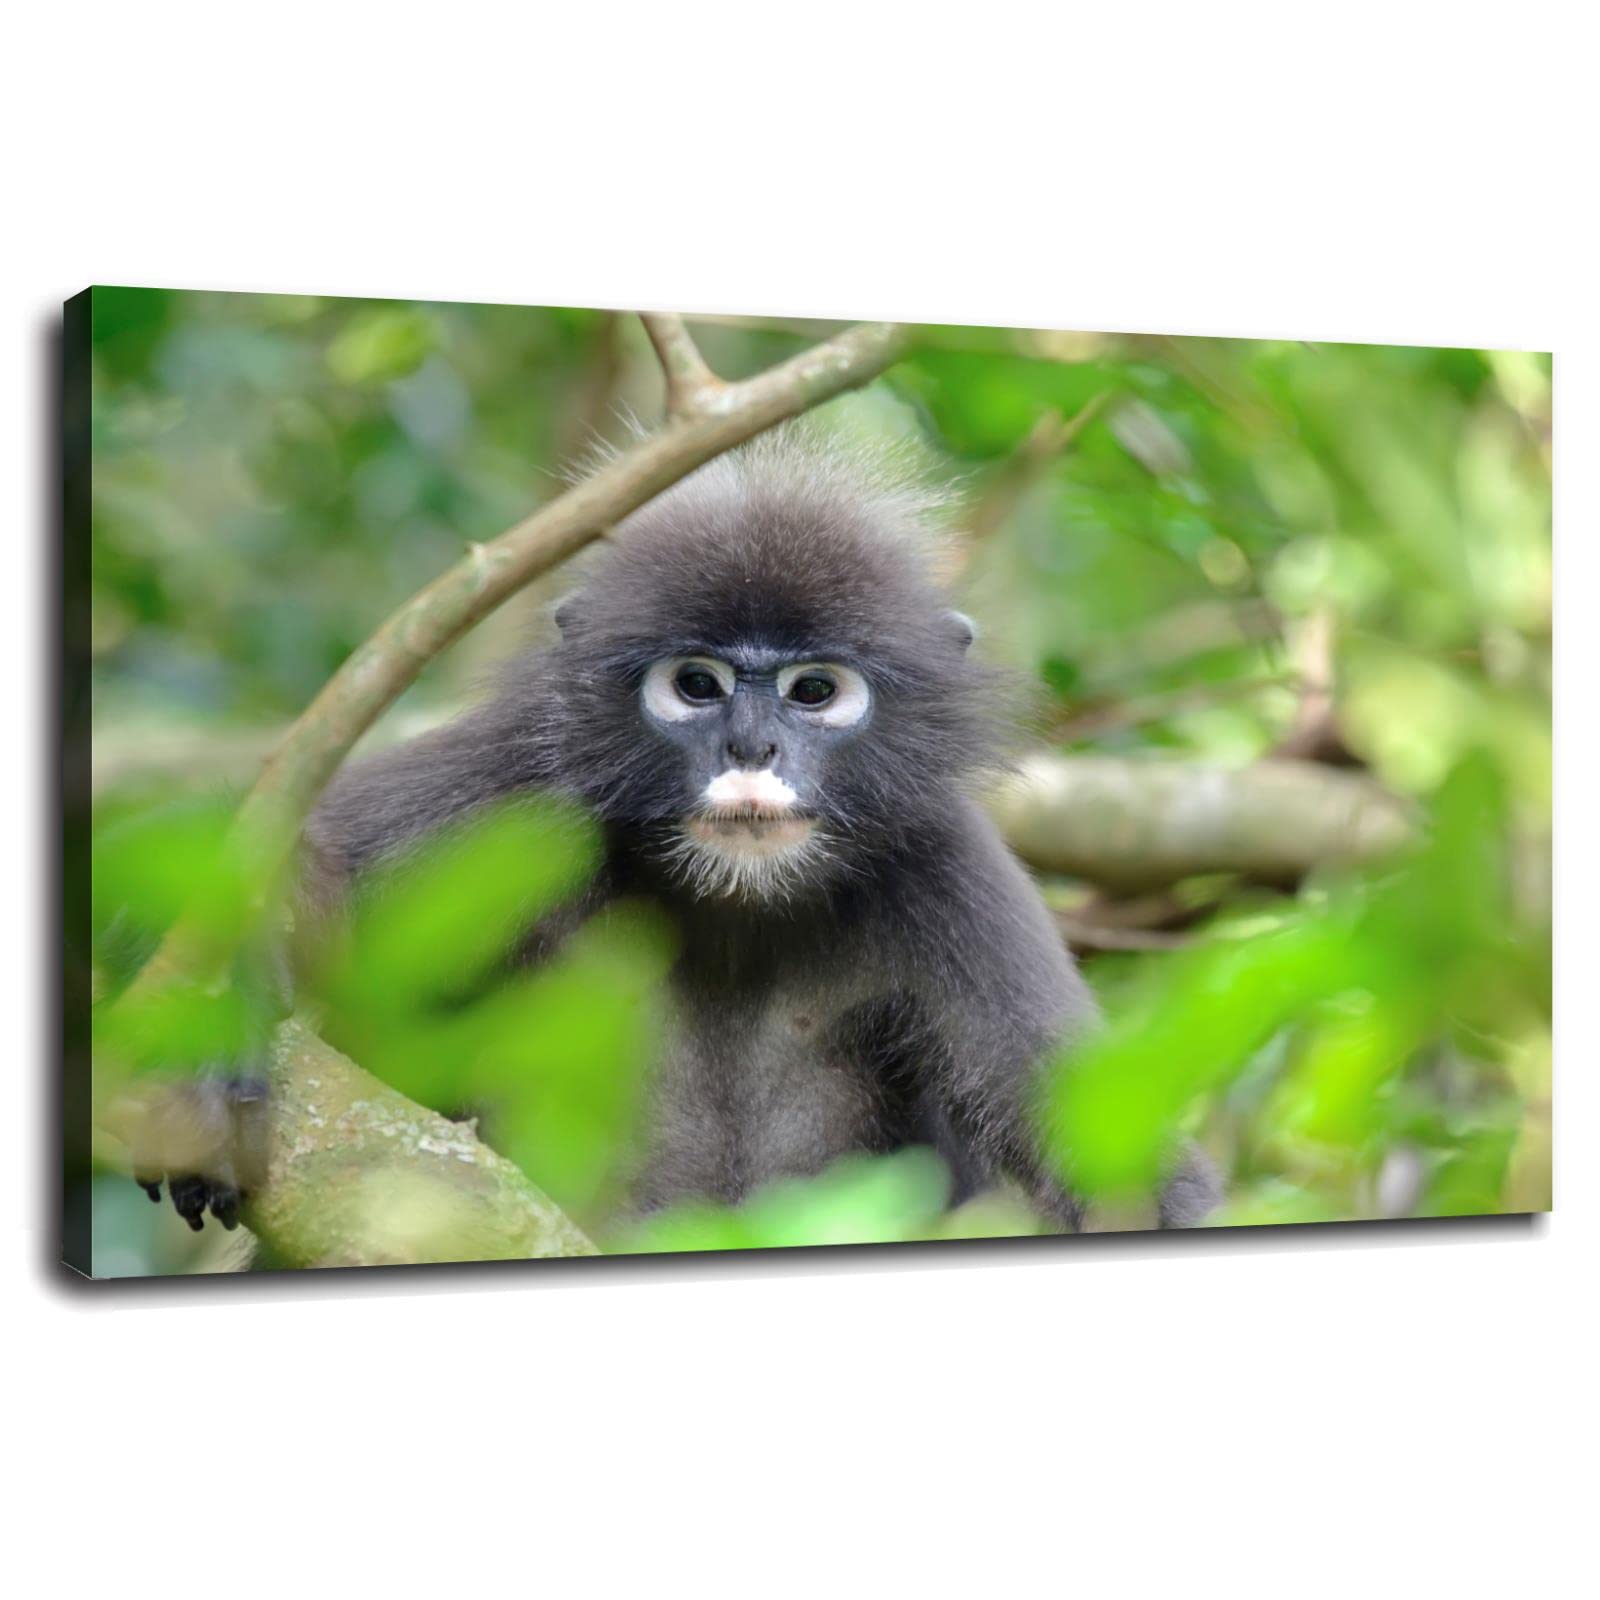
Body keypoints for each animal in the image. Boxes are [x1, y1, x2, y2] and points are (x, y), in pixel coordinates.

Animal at [135, 428, 1220, 1236]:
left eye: (813, 691)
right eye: (696, 684)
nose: (750, 744)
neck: (730, 907)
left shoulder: (945, 865)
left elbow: (1121, 1168)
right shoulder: (521, 785)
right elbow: (278, 860)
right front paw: (204, 1039)